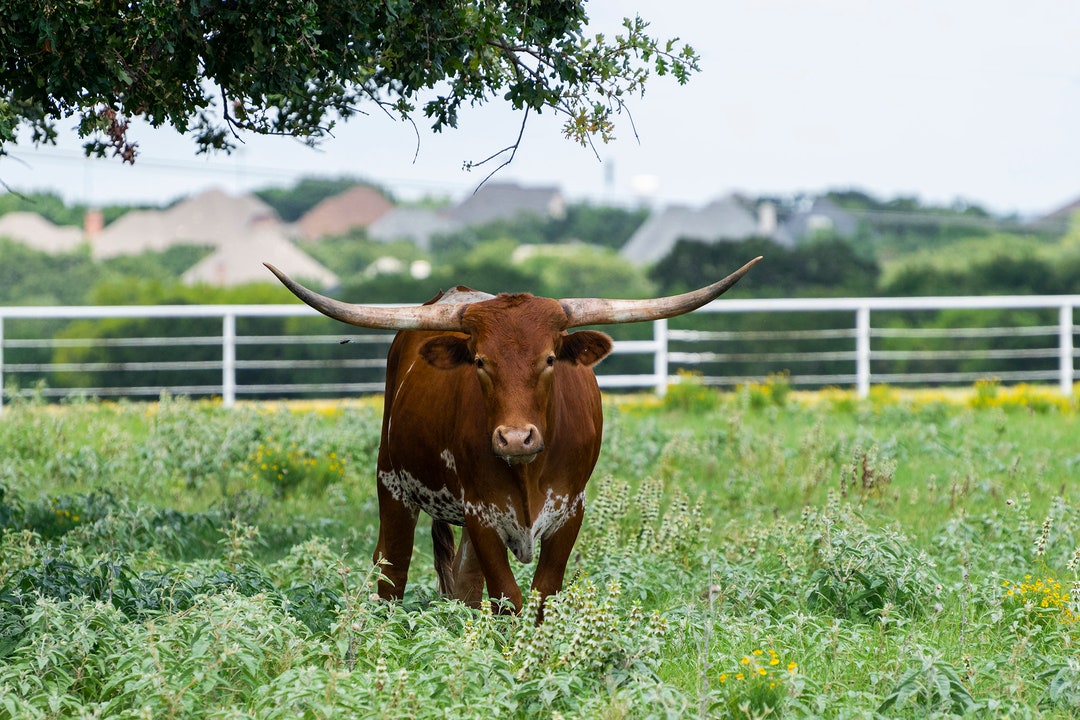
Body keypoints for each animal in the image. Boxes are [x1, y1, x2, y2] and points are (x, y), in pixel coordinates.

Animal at [264, 257, 760, 615]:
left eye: (549, 359)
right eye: (481, 362)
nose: (515, 439)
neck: (528, 470)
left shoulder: (570, 512)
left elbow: (541, 596)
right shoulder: (483, 515)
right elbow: (508, 600)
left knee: (463, 584)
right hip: (394, 483)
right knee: (392, 572)